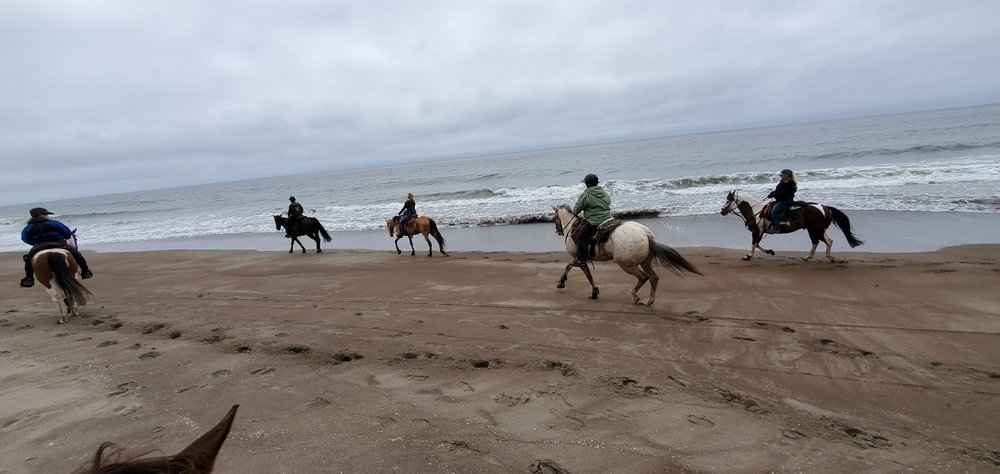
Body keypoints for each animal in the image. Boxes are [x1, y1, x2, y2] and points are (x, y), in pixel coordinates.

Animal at [552, 205, 701, 305]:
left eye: (555, 217)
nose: (558, 231)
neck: (573, 228)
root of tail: (646, 234)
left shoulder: (579, 259)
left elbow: (574, 268)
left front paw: (562, 282)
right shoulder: (580, 259)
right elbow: (579, 270)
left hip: (625, 264)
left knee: (643, 277)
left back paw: (635, 296)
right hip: (645, 262)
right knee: (653, 278)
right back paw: (649, 301)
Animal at [720, 190, 864, 262]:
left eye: (728, 200)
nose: (722, 211)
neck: (756, 210)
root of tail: (825, 208)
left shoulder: (756, 231)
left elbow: (754, 244)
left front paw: (748, 256)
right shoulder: (760, 231)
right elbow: (759, 244)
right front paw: (770, 251)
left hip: (816, 230)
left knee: (827, 241)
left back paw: (830, 258)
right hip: (814, 230)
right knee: (816, 242)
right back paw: (807, 257)